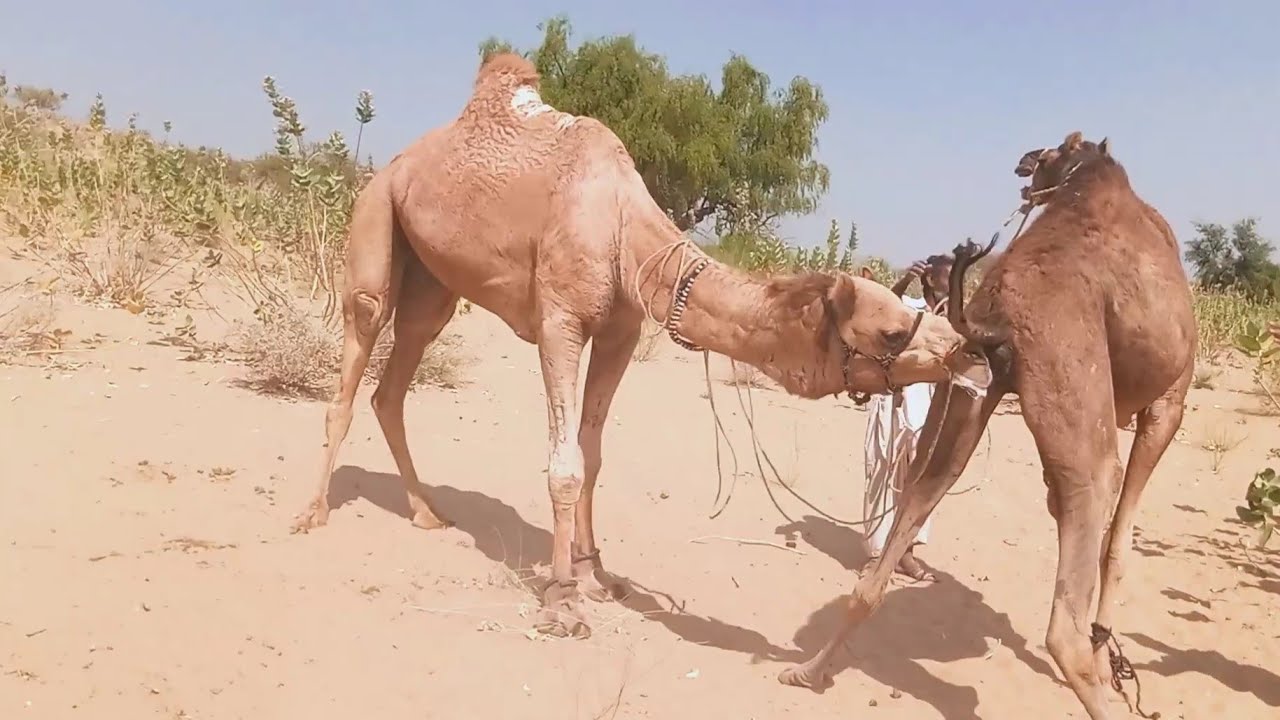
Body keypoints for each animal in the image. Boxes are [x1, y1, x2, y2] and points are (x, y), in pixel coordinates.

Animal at [290, 53, 974, 637]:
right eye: (892, 329)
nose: (962, 349)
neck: (624, 229)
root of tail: (395, 163)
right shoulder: (560, 321)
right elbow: (564, 465)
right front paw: (563, 600)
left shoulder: (620, 329)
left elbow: (592, 456)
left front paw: (597, 574)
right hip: (375, 217)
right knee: (359, 341)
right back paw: (312, 512)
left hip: (433, 281)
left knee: (396, 377)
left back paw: (427, 513)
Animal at [779, 130, 1196, 720]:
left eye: (1044, 155)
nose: (1024, 160)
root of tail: (993, 318)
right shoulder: (1170, 400)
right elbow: (1117, 543)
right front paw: (1106, 652)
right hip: (1076, 405)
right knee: (1073, 588)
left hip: (968, 392)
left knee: (909, 509)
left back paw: (807, 670)